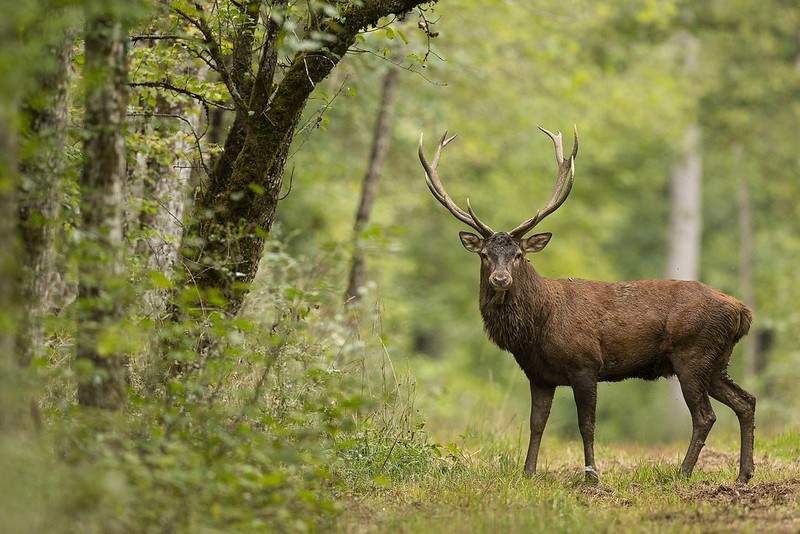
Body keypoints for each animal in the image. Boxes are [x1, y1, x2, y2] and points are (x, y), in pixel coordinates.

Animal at [418, 127, 756, 484]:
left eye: (519, 254)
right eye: (485, 254)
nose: (500, 278)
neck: (538, 325)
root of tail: (742, 312)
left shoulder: (586, 364)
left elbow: (586, 424)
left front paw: (592, 475)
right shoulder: (539, 375)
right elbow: (536, 423)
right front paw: (528, 472)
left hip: (692, 355)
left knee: (706, 416)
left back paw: (683, 473)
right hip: (716, 361)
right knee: (745, 401)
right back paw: (743, 474)